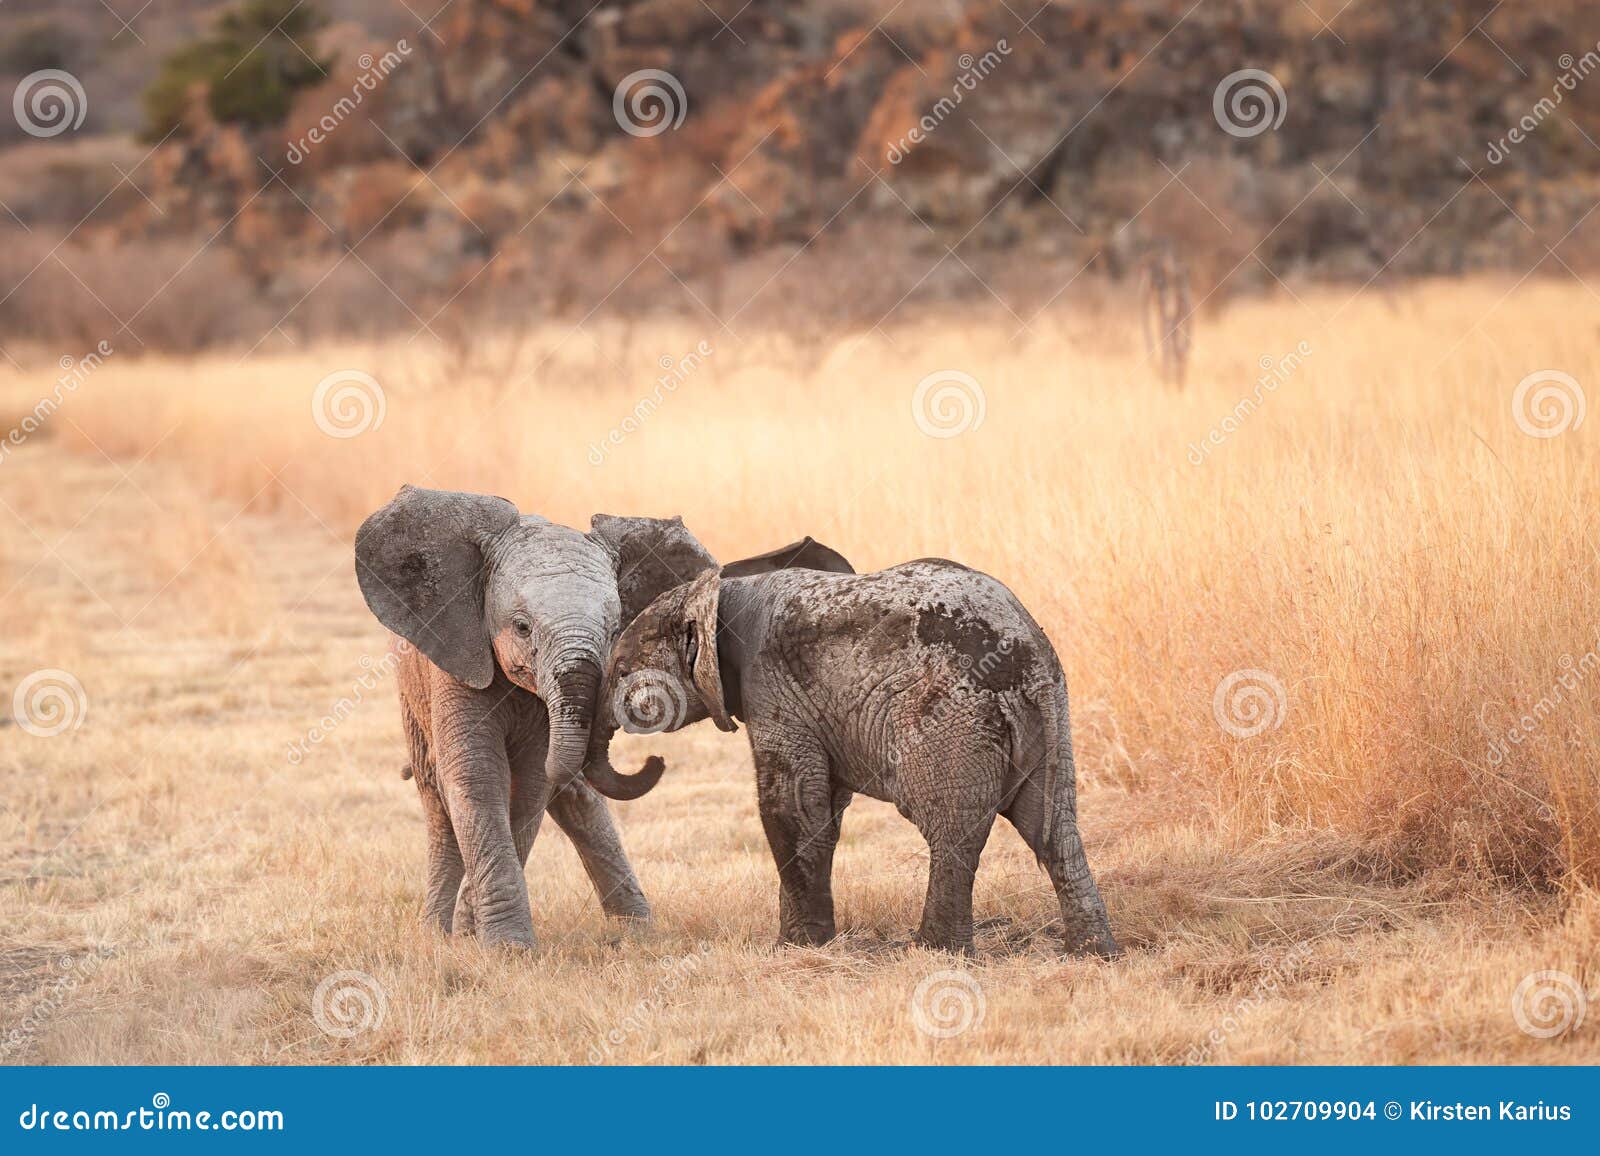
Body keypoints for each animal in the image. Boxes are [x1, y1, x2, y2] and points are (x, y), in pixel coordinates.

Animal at [354, 484, 852, 948]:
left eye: (615, 629)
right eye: (522, 627)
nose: (656, 760)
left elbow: (530, 784)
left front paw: (480, 934)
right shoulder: (457, 657)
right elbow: (477, 777)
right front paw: (499, 947)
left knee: (567, 796)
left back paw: (636, 929)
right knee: (437, 798)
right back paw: (434, 934)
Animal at [589, 560, 1120, 957]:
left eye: (621, 670)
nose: (656, 760)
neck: (722, 592)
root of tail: (1028, 655)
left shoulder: (772, 688)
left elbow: (791, 805)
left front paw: (797, 948)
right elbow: (823, 811)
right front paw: (807, 942)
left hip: (947, 718)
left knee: (951, 830)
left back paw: (933, 952)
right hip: (1050, 723)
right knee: (1052, 827)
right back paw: (1093, 952)